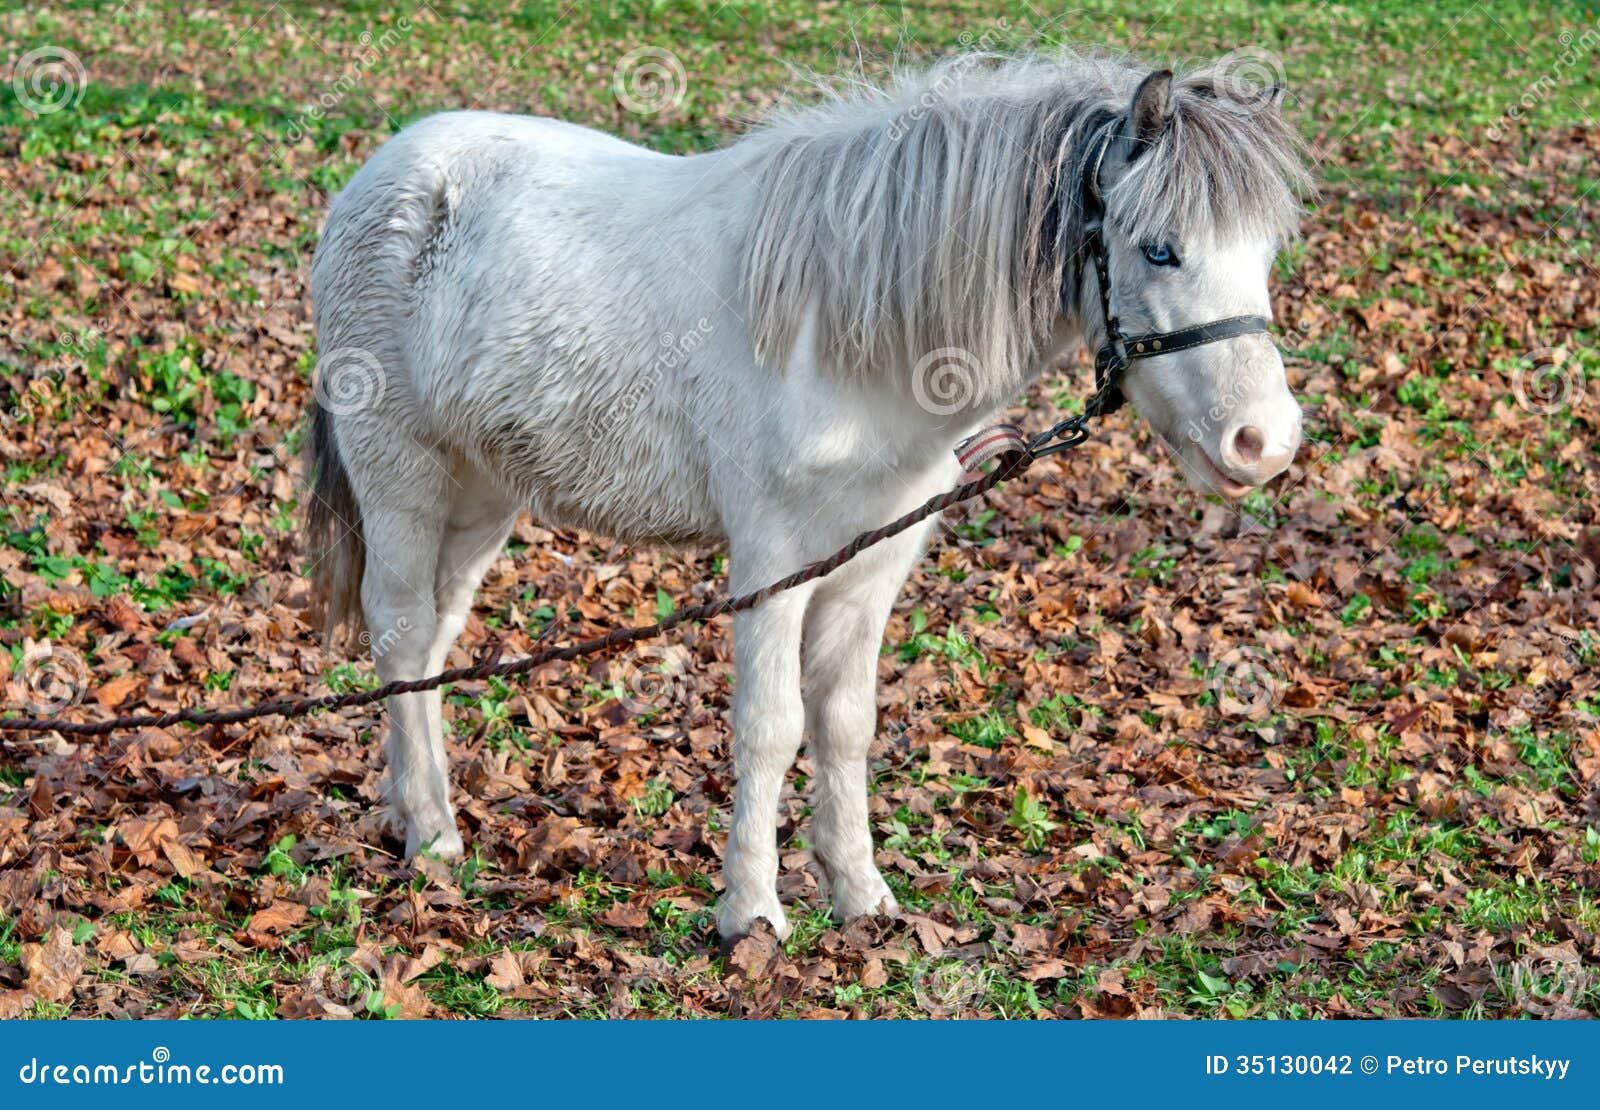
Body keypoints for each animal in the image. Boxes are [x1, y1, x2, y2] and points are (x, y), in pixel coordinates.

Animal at [304, 52, 1311, 943]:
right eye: (1161, 250)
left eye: (1264, 252)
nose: (1263, 444)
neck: (853, 332)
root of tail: (391, 171)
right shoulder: (772, 565)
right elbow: (770, 726)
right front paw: (750, 911)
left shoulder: (872, 562)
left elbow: (846, 723)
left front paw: (859, 893)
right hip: (402, 474)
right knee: (399, 630)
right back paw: (433, 836)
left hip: (483, 493)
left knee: (434, 642)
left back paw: (415, 813)